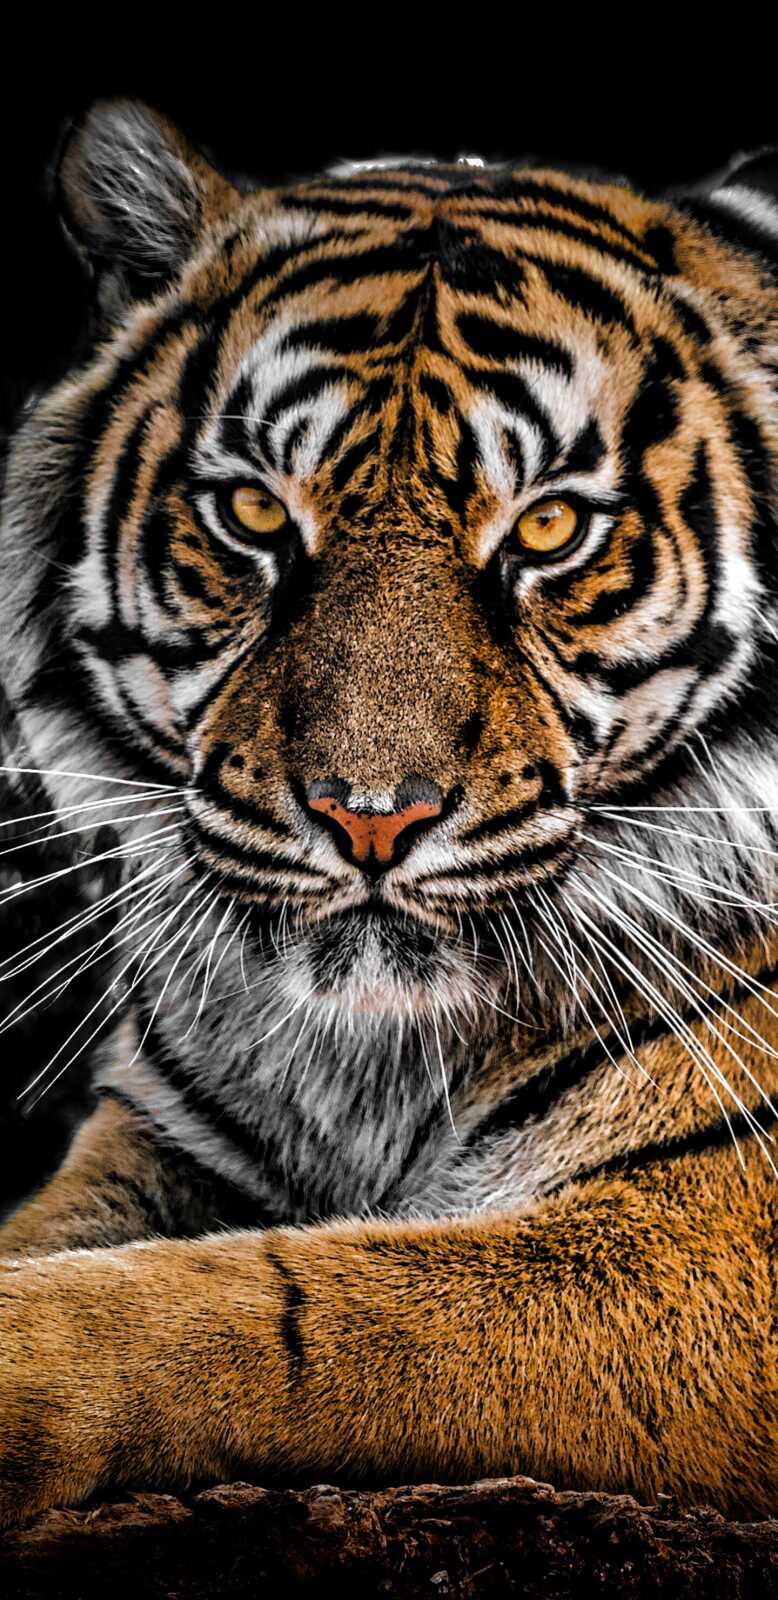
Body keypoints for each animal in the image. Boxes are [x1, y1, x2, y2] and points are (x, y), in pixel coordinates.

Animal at [0, 99, 776, 1529]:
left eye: (550, 528)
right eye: (253, 510)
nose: (368, 816)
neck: (374, 1061)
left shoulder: (708, 1230)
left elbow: (282, 1308)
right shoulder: (159, 1142)